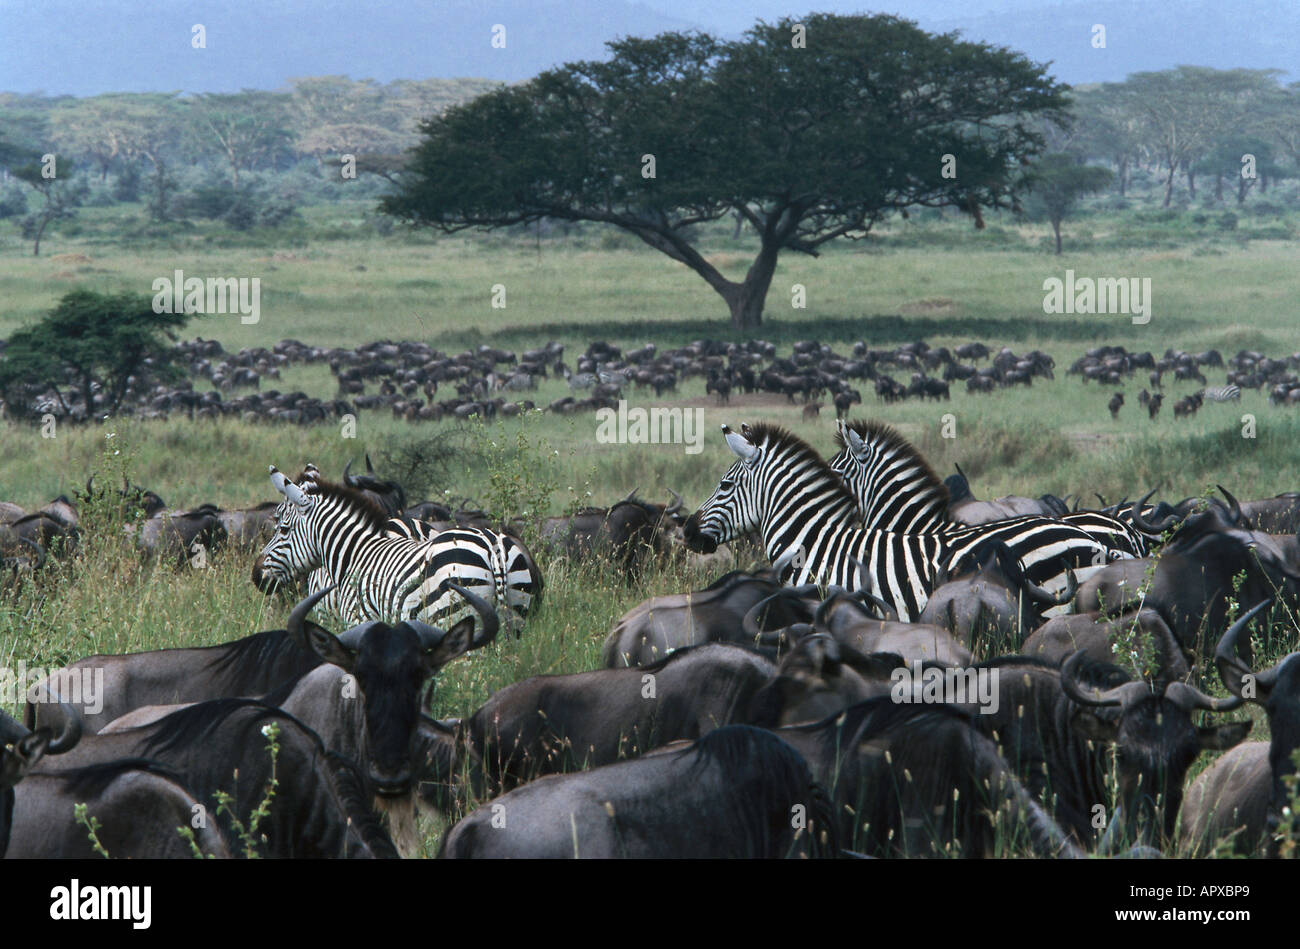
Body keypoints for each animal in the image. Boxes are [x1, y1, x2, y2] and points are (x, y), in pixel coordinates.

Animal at [254, 466, 541, 633]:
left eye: (283, 529)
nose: (256, 576)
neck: (355, 553)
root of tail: (493, 547)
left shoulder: (356, 620)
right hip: (517, 614)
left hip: (452, 615)